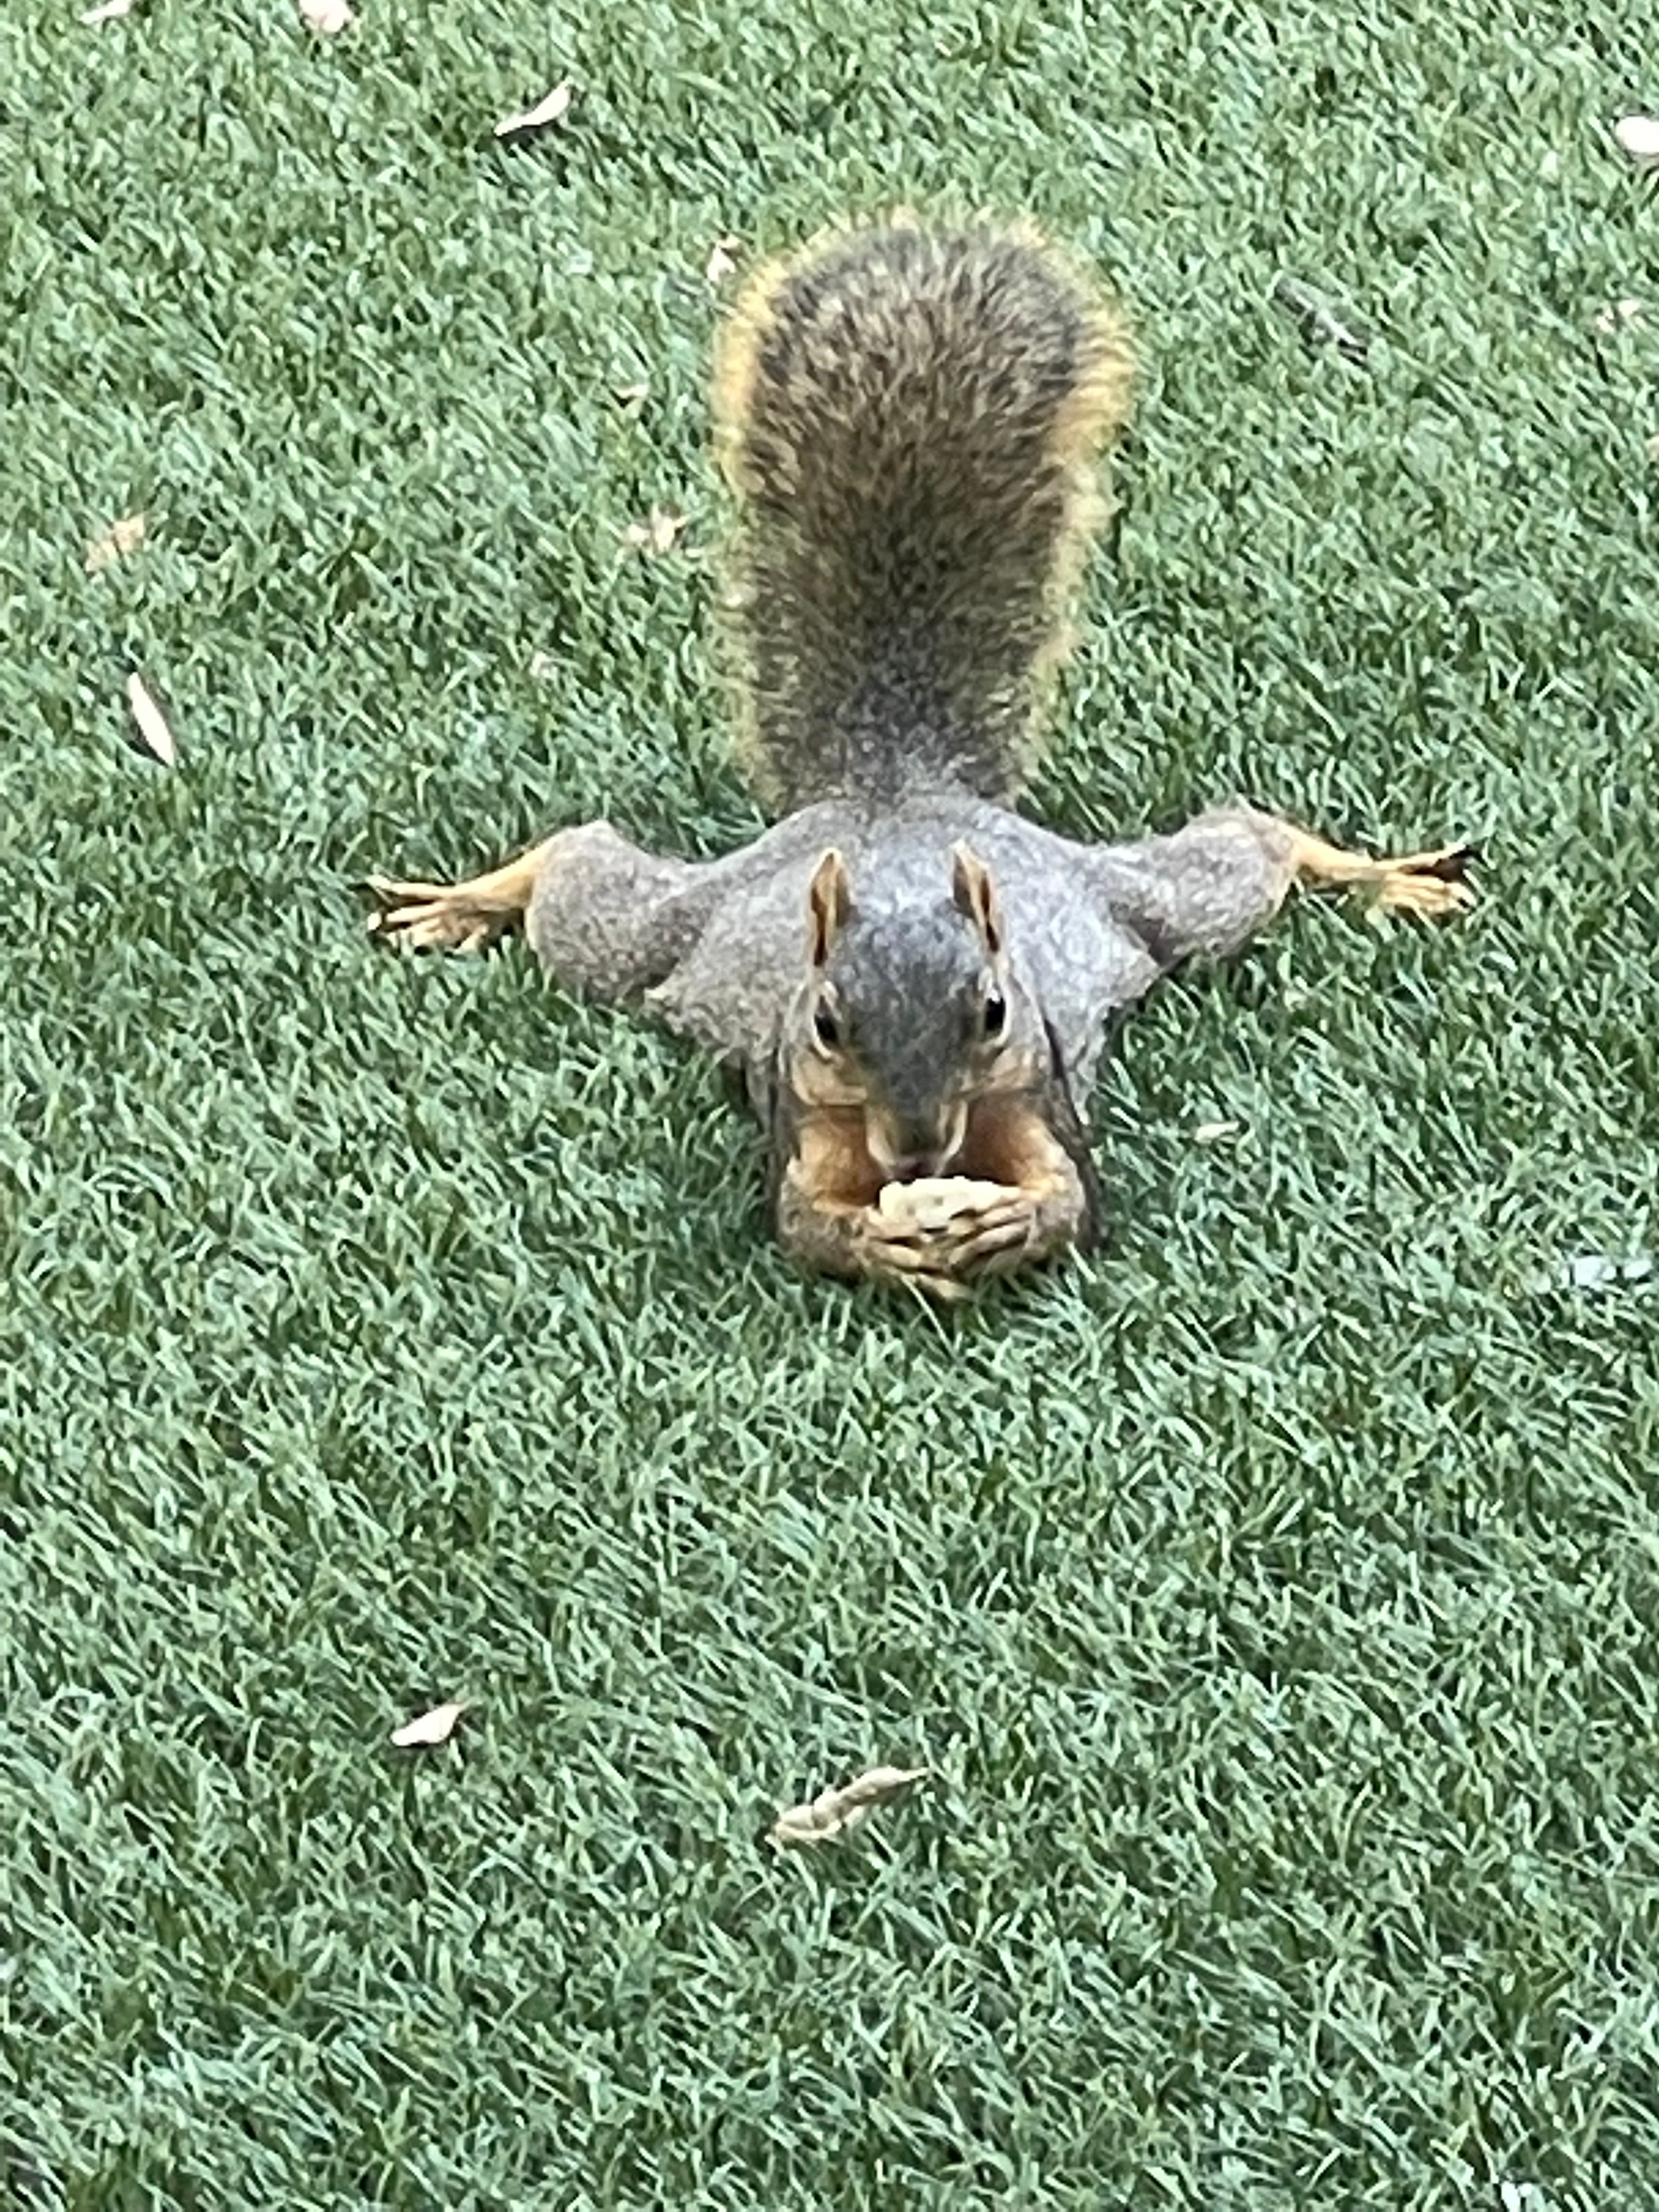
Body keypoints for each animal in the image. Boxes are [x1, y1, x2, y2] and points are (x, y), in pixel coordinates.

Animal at [368, 214, 1475, 1300]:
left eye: (992, 1010)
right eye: (825, 1023)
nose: (912, 1147)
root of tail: (894, 798)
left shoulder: (1039, 1096)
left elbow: (1074, 1203)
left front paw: (1011, 1222)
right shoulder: (803, 1122)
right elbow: (804, 1224)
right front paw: (881, 1241)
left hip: (1154, 904)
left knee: (1248, 845)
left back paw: (1384, 876)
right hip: (647, 933)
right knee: (576, 866)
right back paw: (459, 901)